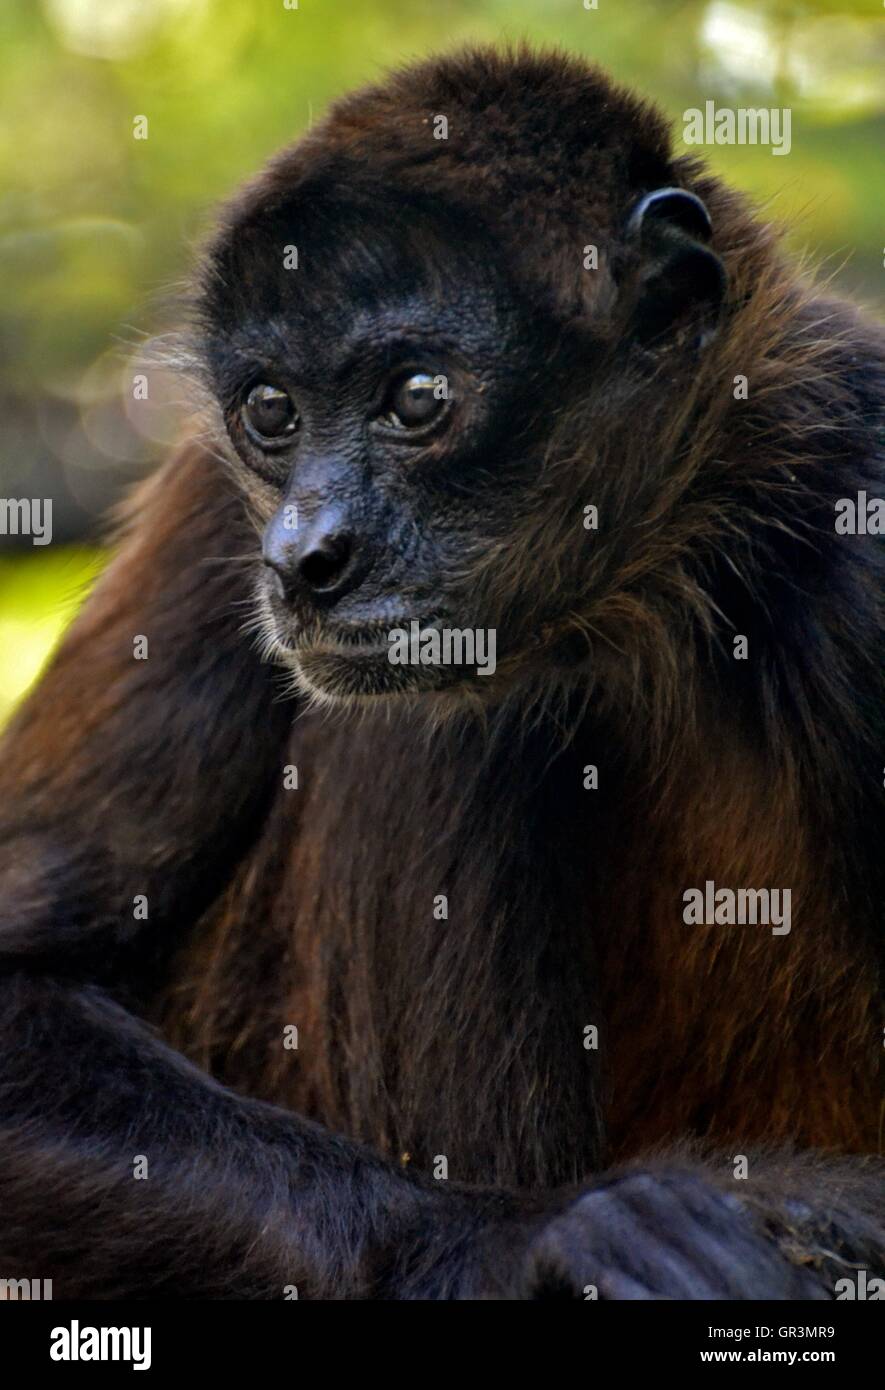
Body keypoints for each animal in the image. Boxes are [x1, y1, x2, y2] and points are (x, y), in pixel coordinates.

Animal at [0, 43, 883, 1300]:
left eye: (417, 399)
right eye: (270, 410)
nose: (304, 558)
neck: (634, 596)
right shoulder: (219, 506)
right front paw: (524, 1236)